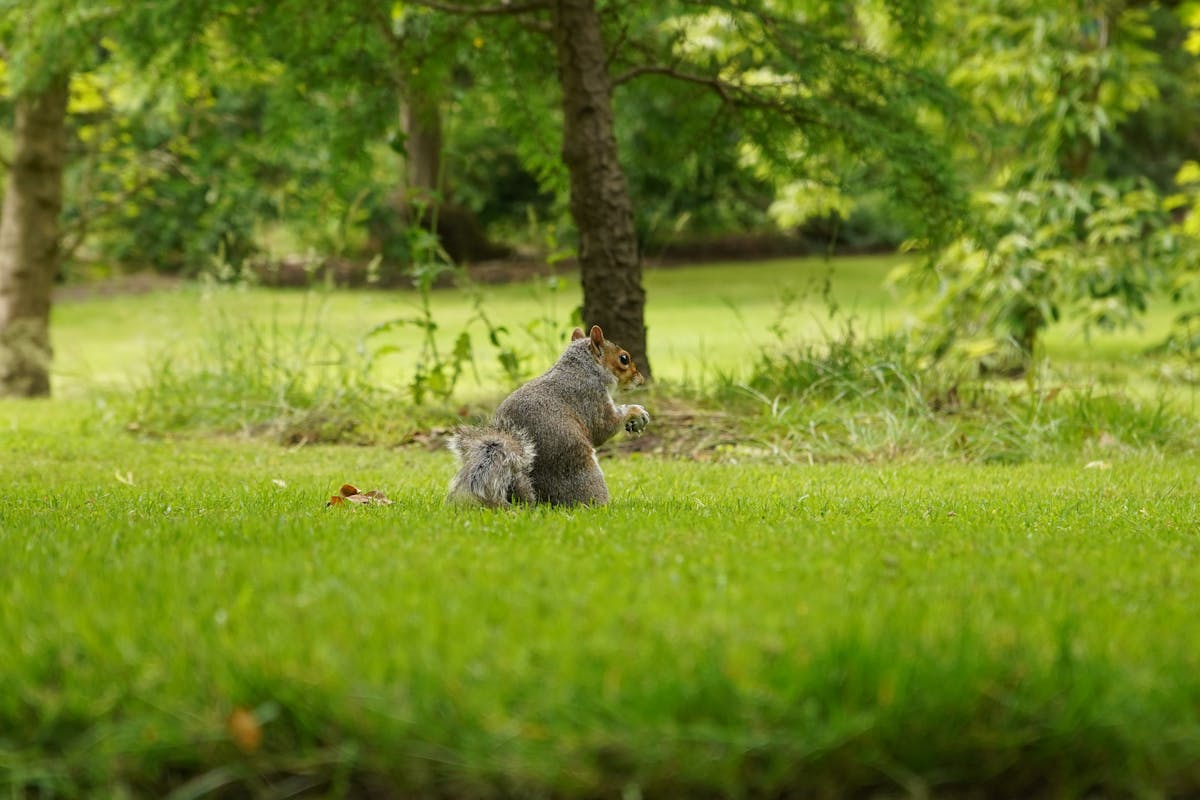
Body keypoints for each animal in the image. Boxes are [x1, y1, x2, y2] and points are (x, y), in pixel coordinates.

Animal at [447, 325, 650, 507]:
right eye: (624, 358)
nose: (641, 380)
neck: (585, 368)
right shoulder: (590, 398)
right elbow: (604, 427)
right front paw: (635, 411)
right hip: (578, 469)